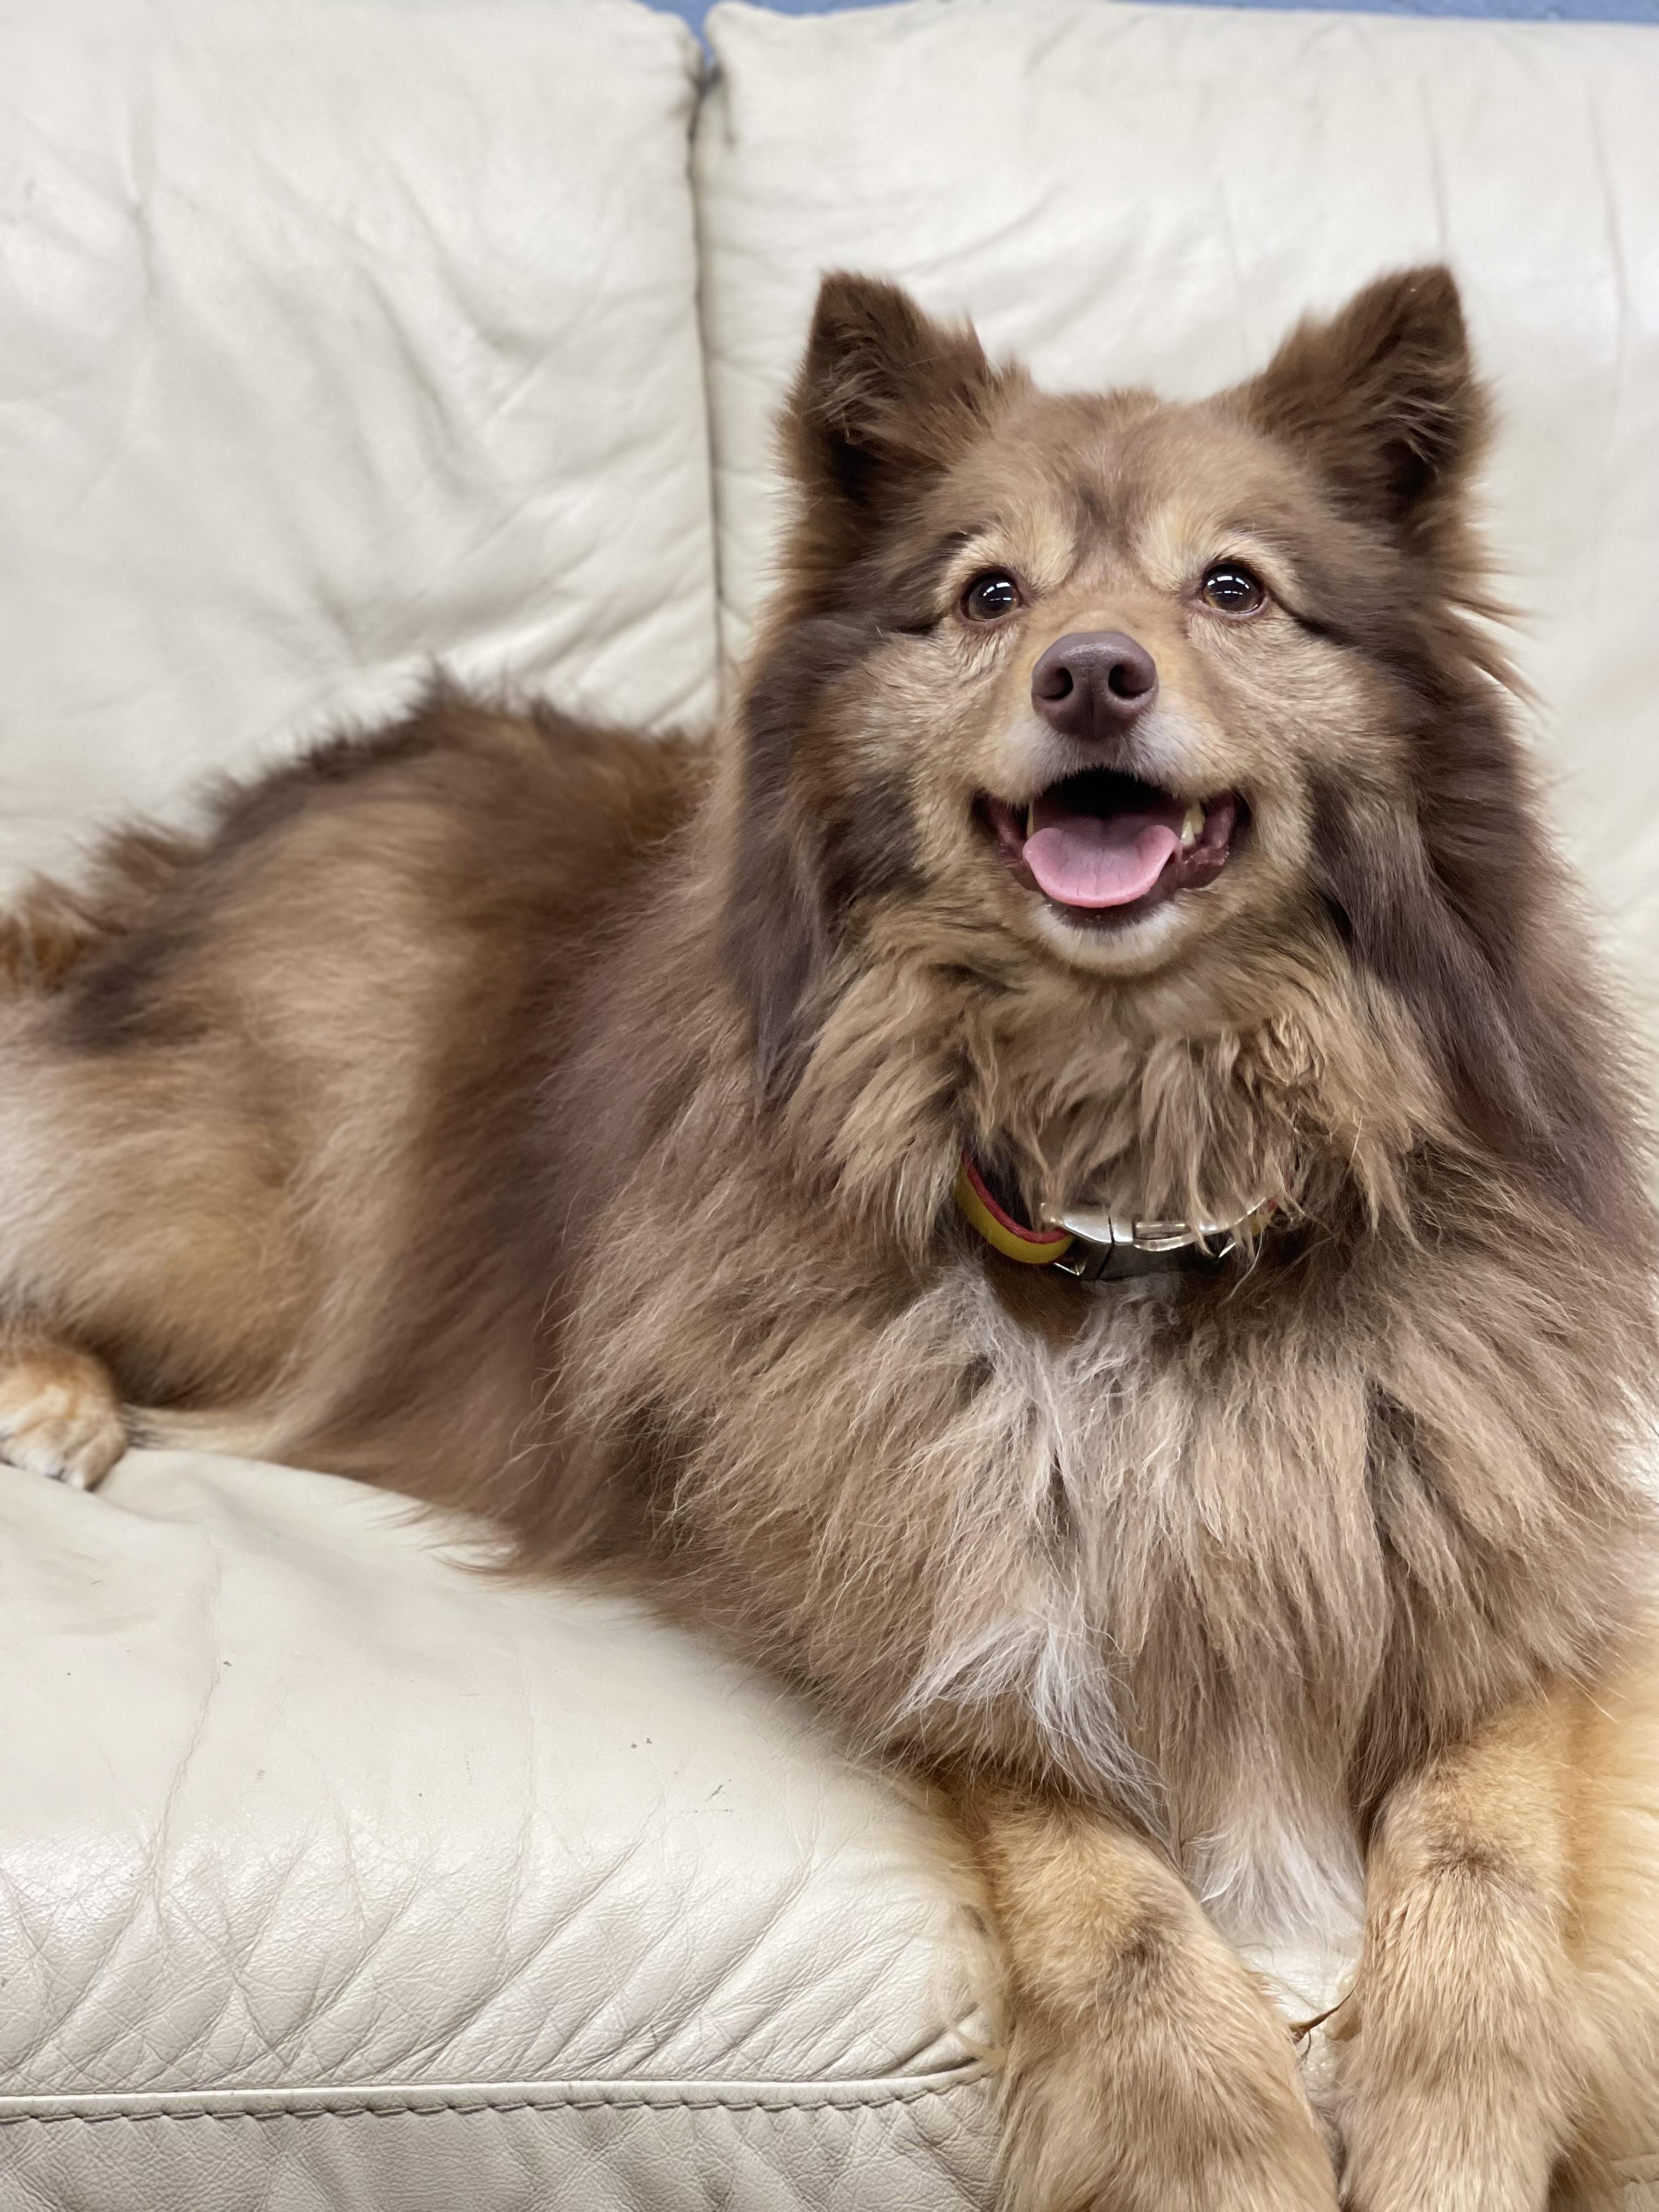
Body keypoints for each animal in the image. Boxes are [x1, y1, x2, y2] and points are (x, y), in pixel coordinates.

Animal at [2, 264, 1656, 2209]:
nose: (1093, 676)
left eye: (1233, 588)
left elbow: (1485, 1867)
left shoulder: (1516, 1589)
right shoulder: (944, 1630)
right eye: (991, 595)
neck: (1148, 1165)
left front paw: (1452, 2126)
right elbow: (1124, 1927)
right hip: (249, 1213)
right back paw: (51, 1393)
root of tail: (270, 800)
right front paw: (1224, 2143)